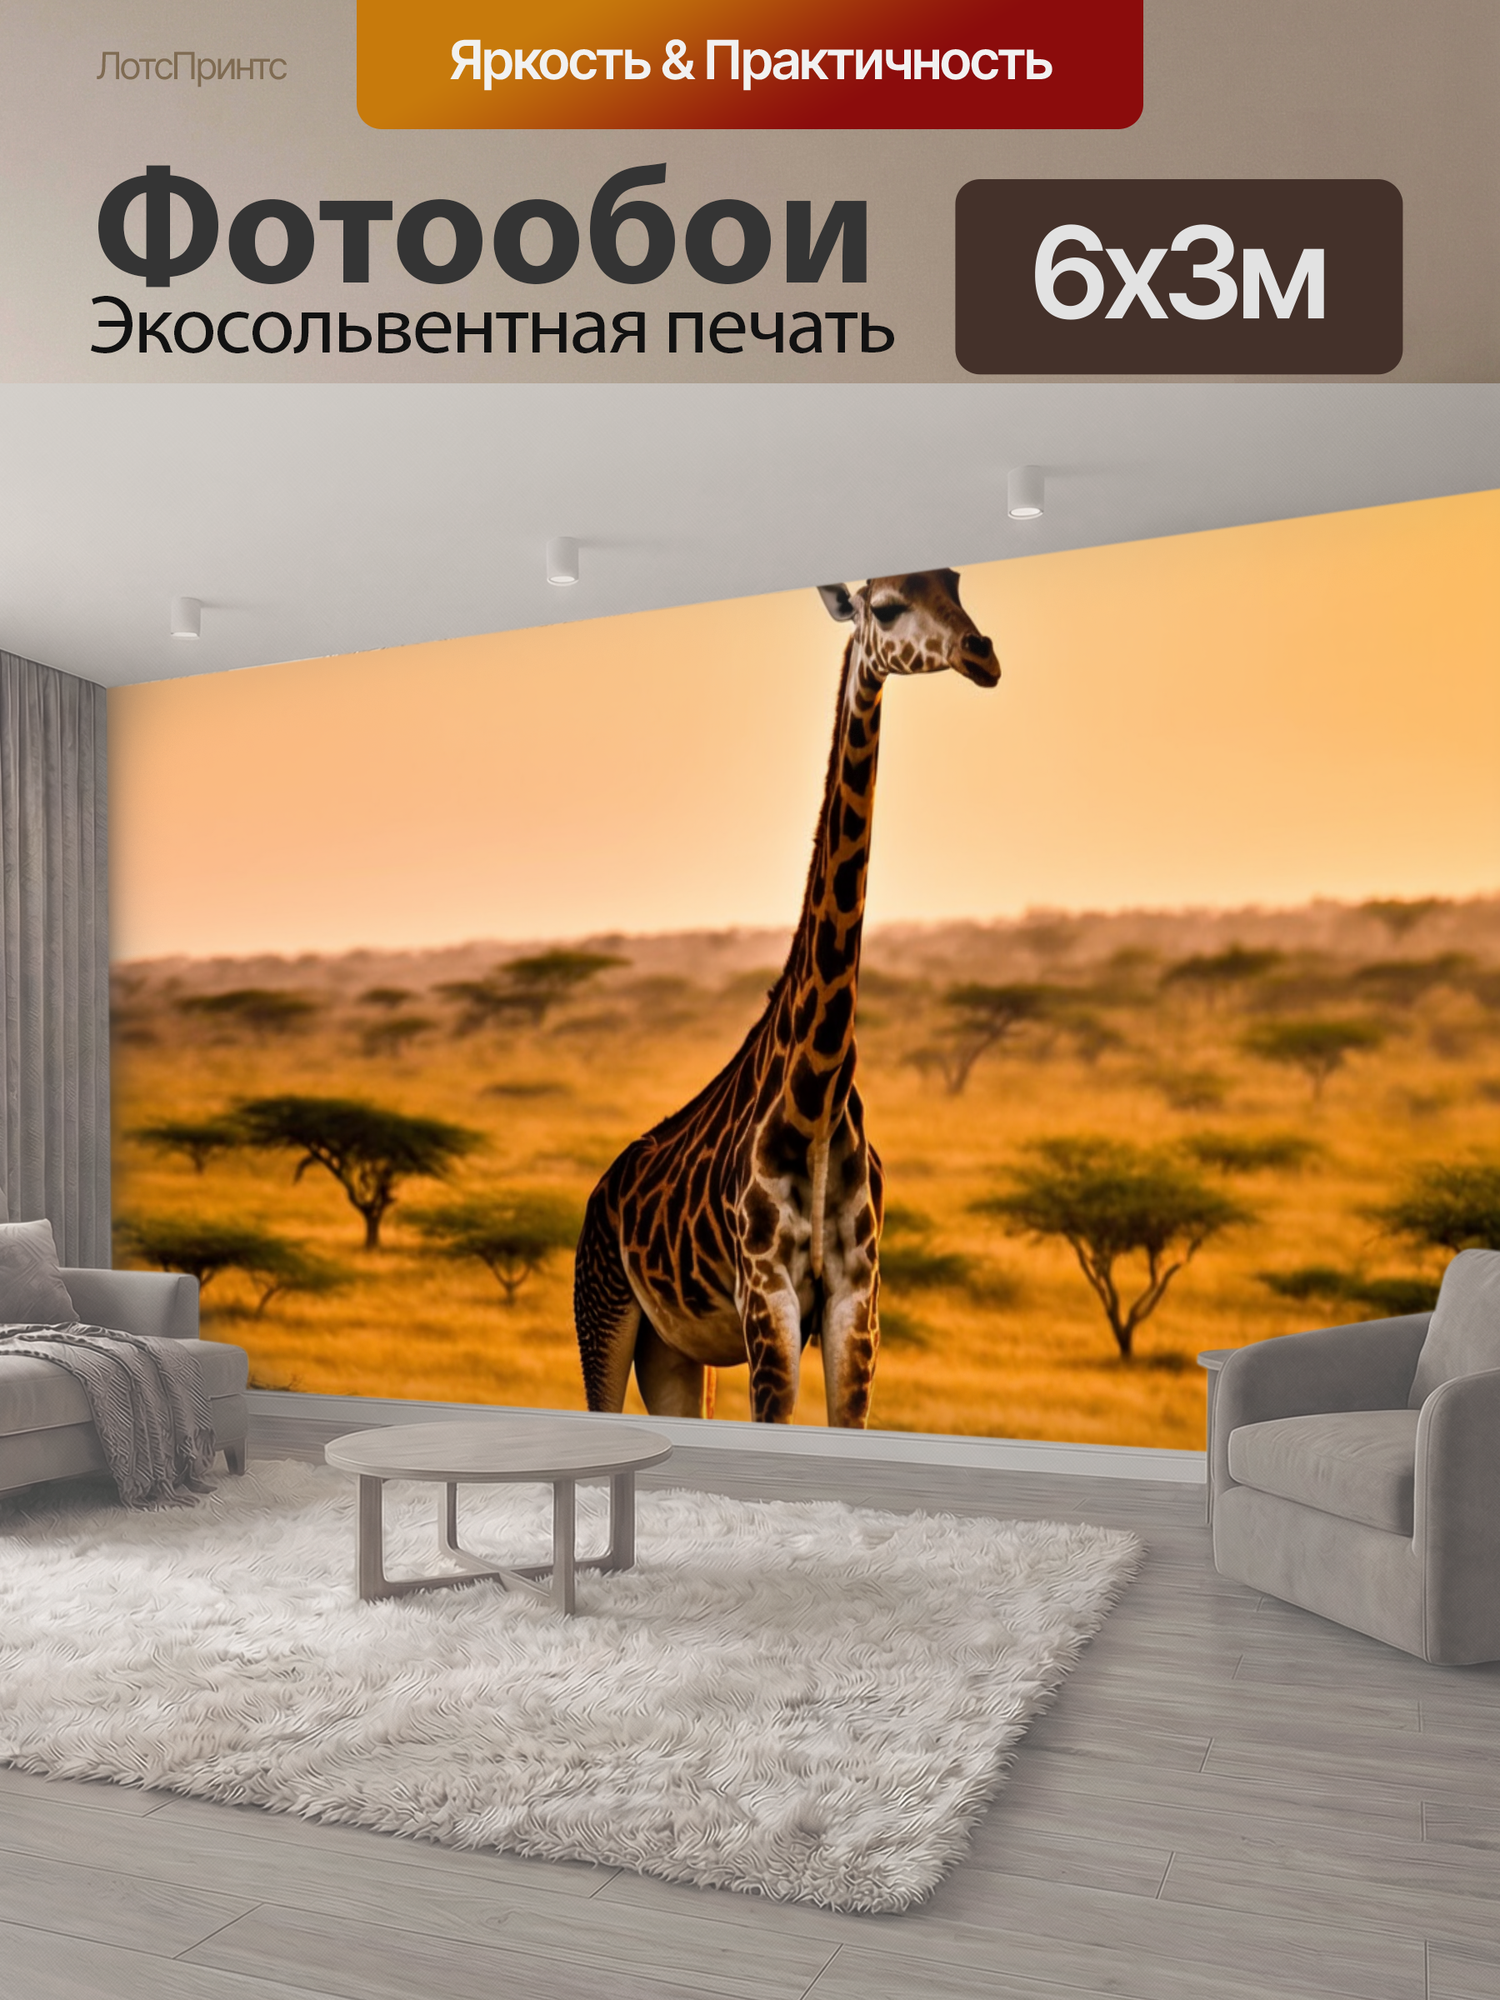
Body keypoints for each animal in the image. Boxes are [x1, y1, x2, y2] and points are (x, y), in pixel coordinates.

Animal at [574, 570, 999, 1426]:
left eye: (956, 582)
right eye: (887, 606)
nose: (983, 654)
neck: (819, 1094)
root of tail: (602, 1191)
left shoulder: (855, 1301)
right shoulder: (768, 1300)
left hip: (674, 1351)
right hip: (601, 1308)